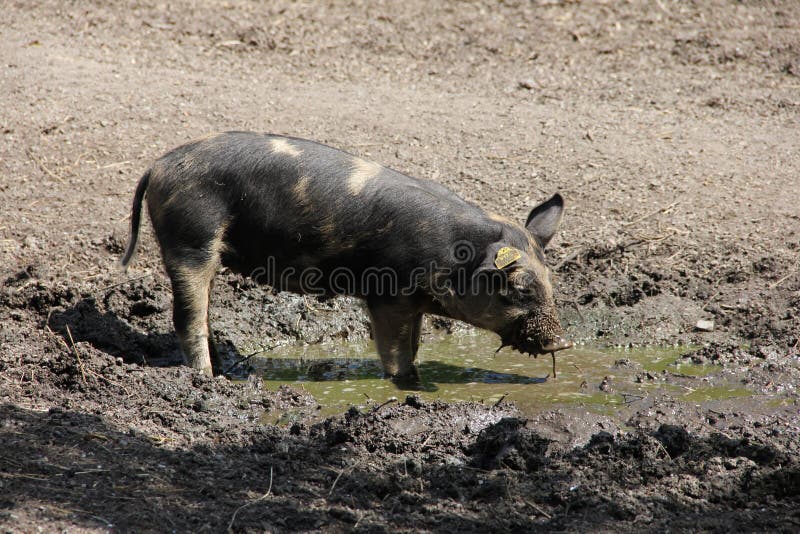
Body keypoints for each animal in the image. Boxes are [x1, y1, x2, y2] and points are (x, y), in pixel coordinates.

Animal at [120, 132, 572, 379]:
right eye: (520, 288)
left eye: (552, 283)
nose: (563, 343)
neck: (450, 253)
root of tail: (158, 166)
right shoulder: (387, 295)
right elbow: (396, 356)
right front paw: (406, 383)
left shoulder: (414, 303)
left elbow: (415, 346)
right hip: (190, 238)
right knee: (188, 318)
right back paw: (208, 380)